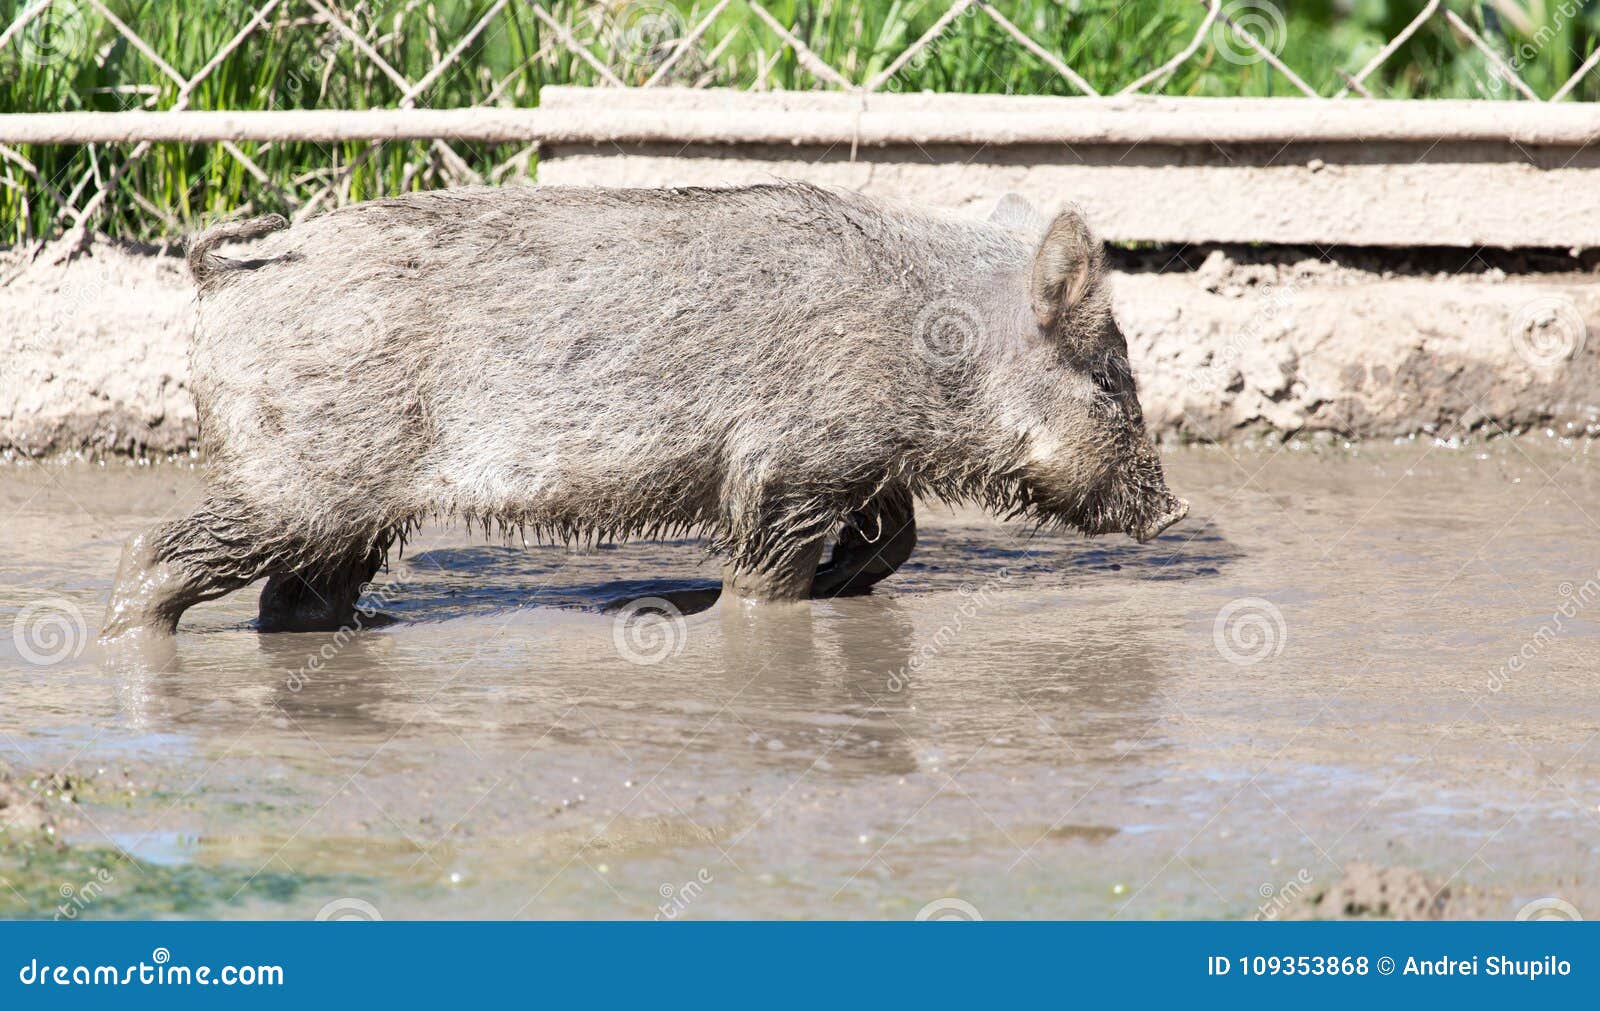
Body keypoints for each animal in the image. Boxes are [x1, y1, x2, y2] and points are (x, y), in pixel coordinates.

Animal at [101, 182, 1187, 639]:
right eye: (1110, 376)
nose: (1174, 510)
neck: (932, 347)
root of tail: (220, 280)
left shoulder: (856, 465)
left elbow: (901, 537)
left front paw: (838, 583)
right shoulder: (786, 468)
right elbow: (767, 575)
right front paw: (740, 606)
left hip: (351, 512)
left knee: (293, 600)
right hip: (297, 484)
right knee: (159, 555)